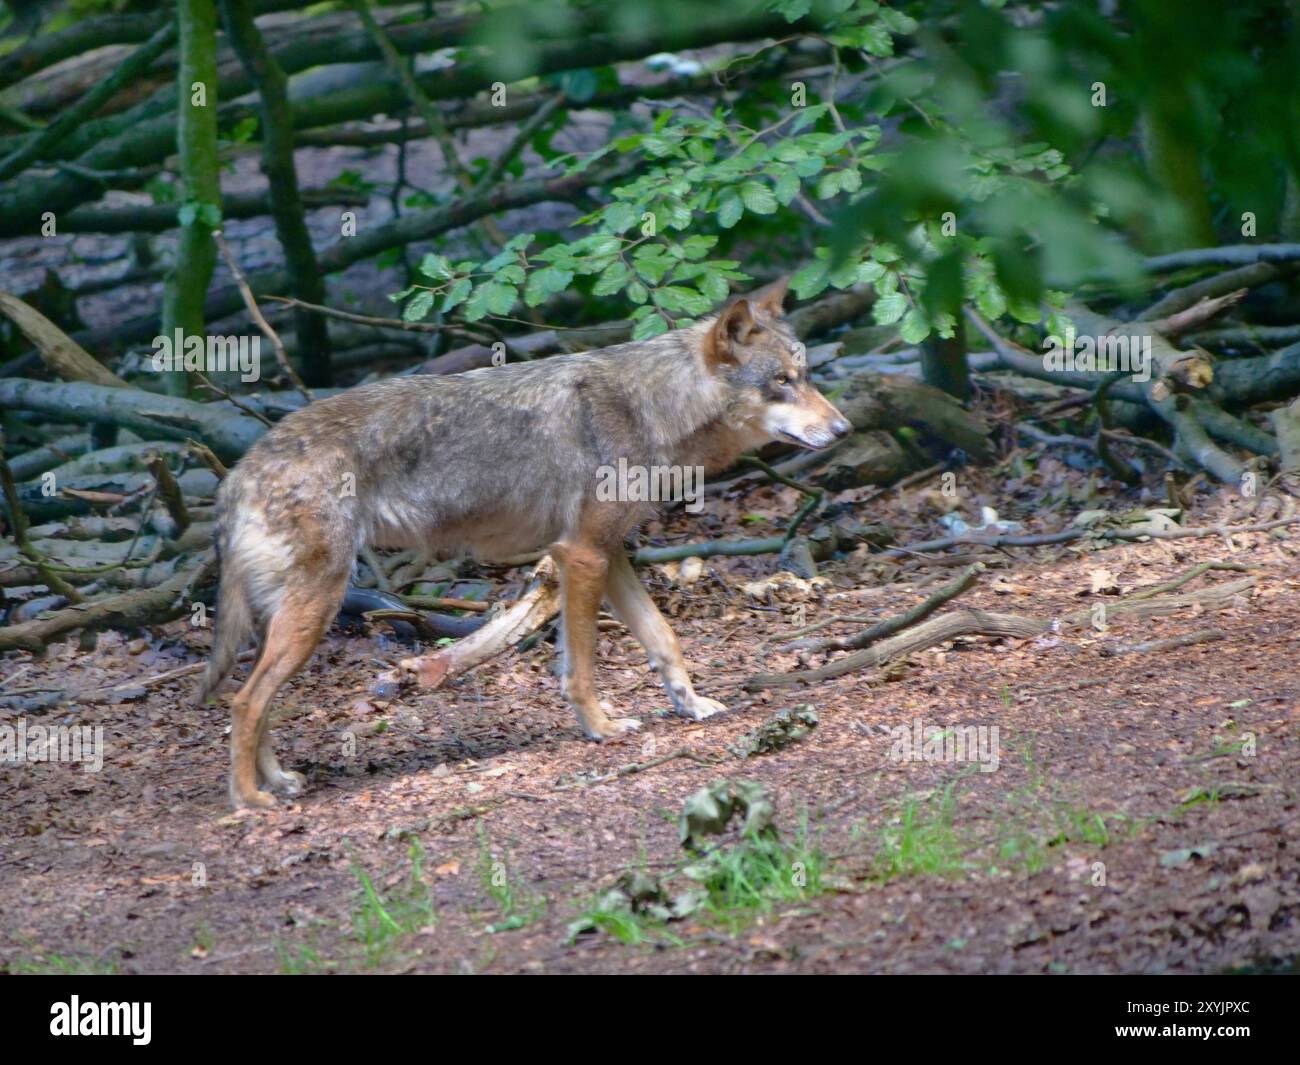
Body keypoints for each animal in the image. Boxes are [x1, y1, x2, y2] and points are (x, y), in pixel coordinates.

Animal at [199, 279, 850, 809]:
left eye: (807, 377)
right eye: (782, 383)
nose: (844, 429)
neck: (654, 406)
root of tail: (239, 471)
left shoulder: (609, 553)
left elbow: (664, 638)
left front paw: (691, 706)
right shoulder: (581, 555)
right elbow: (581, 666)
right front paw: (601, 728)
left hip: (297, 617)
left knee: (254, 702)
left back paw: (277, 781)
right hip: (317, 608)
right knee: (244, 703)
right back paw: (249, 799)